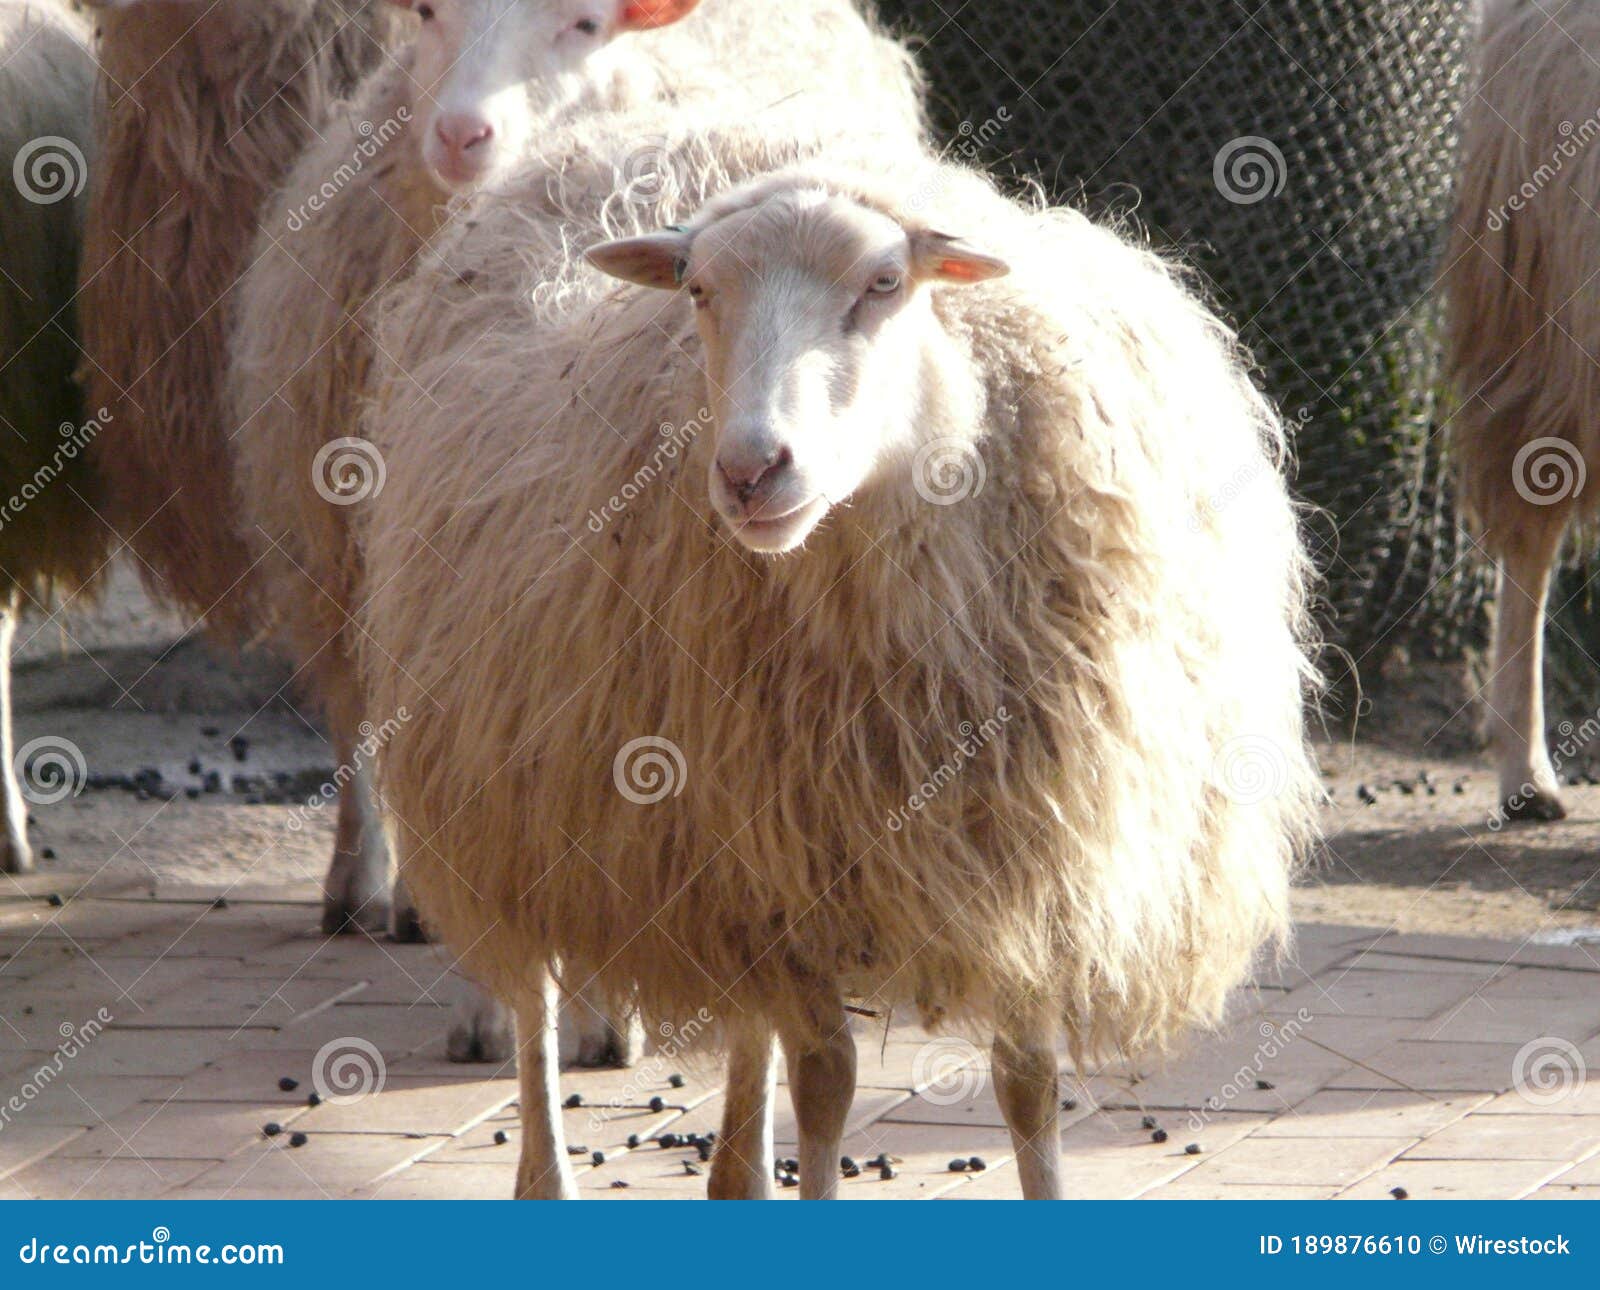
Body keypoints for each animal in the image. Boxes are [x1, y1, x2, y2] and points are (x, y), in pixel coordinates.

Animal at [354, 143, 1319, 1198]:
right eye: (698, 289)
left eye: (884, 284)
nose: (750, 472)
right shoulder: (780, 885)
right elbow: (825, 1081)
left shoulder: (1027, 862)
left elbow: (1028, 1087)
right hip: (504, 788)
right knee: (533, 997)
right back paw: (551, 1172)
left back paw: (733, 1172)